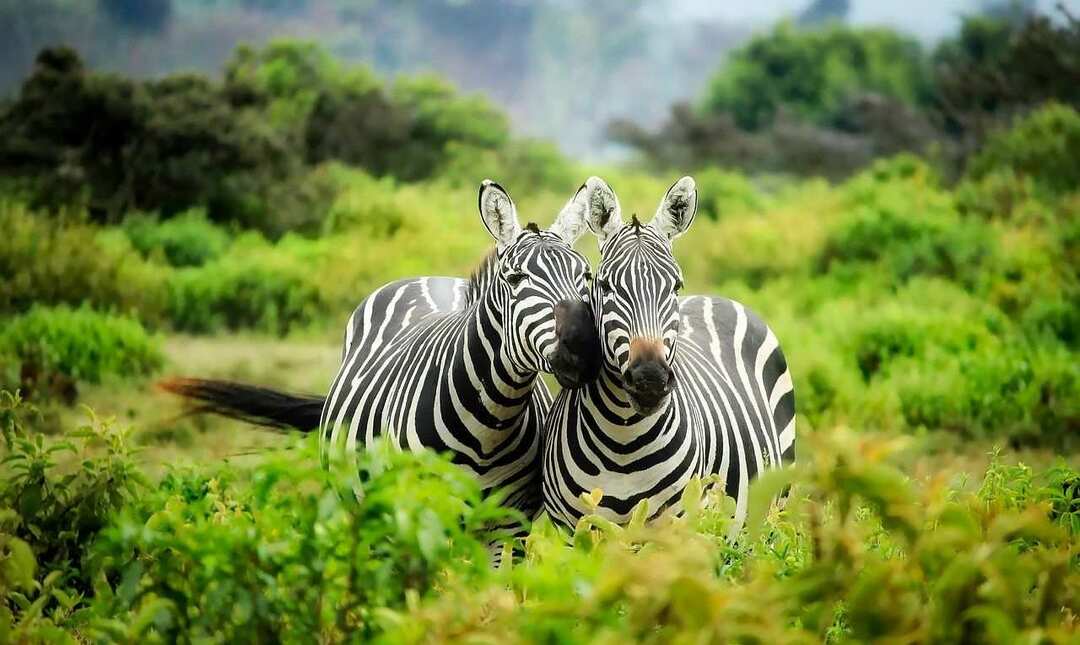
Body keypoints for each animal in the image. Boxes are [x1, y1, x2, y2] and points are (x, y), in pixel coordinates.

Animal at [160, 177, 604, 522]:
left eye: (585, 275)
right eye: (515, 279)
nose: (583, 347)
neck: (490, 423)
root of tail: (428, 277)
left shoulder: (508, 524)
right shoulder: (420, 512)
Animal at [544, 175, 790, 533]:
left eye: (675, 286)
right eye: (605, 286)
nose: (650, 379)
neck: (623, 441)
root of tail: (715, 297)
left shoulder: (675, 527)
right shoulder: (570, 530)